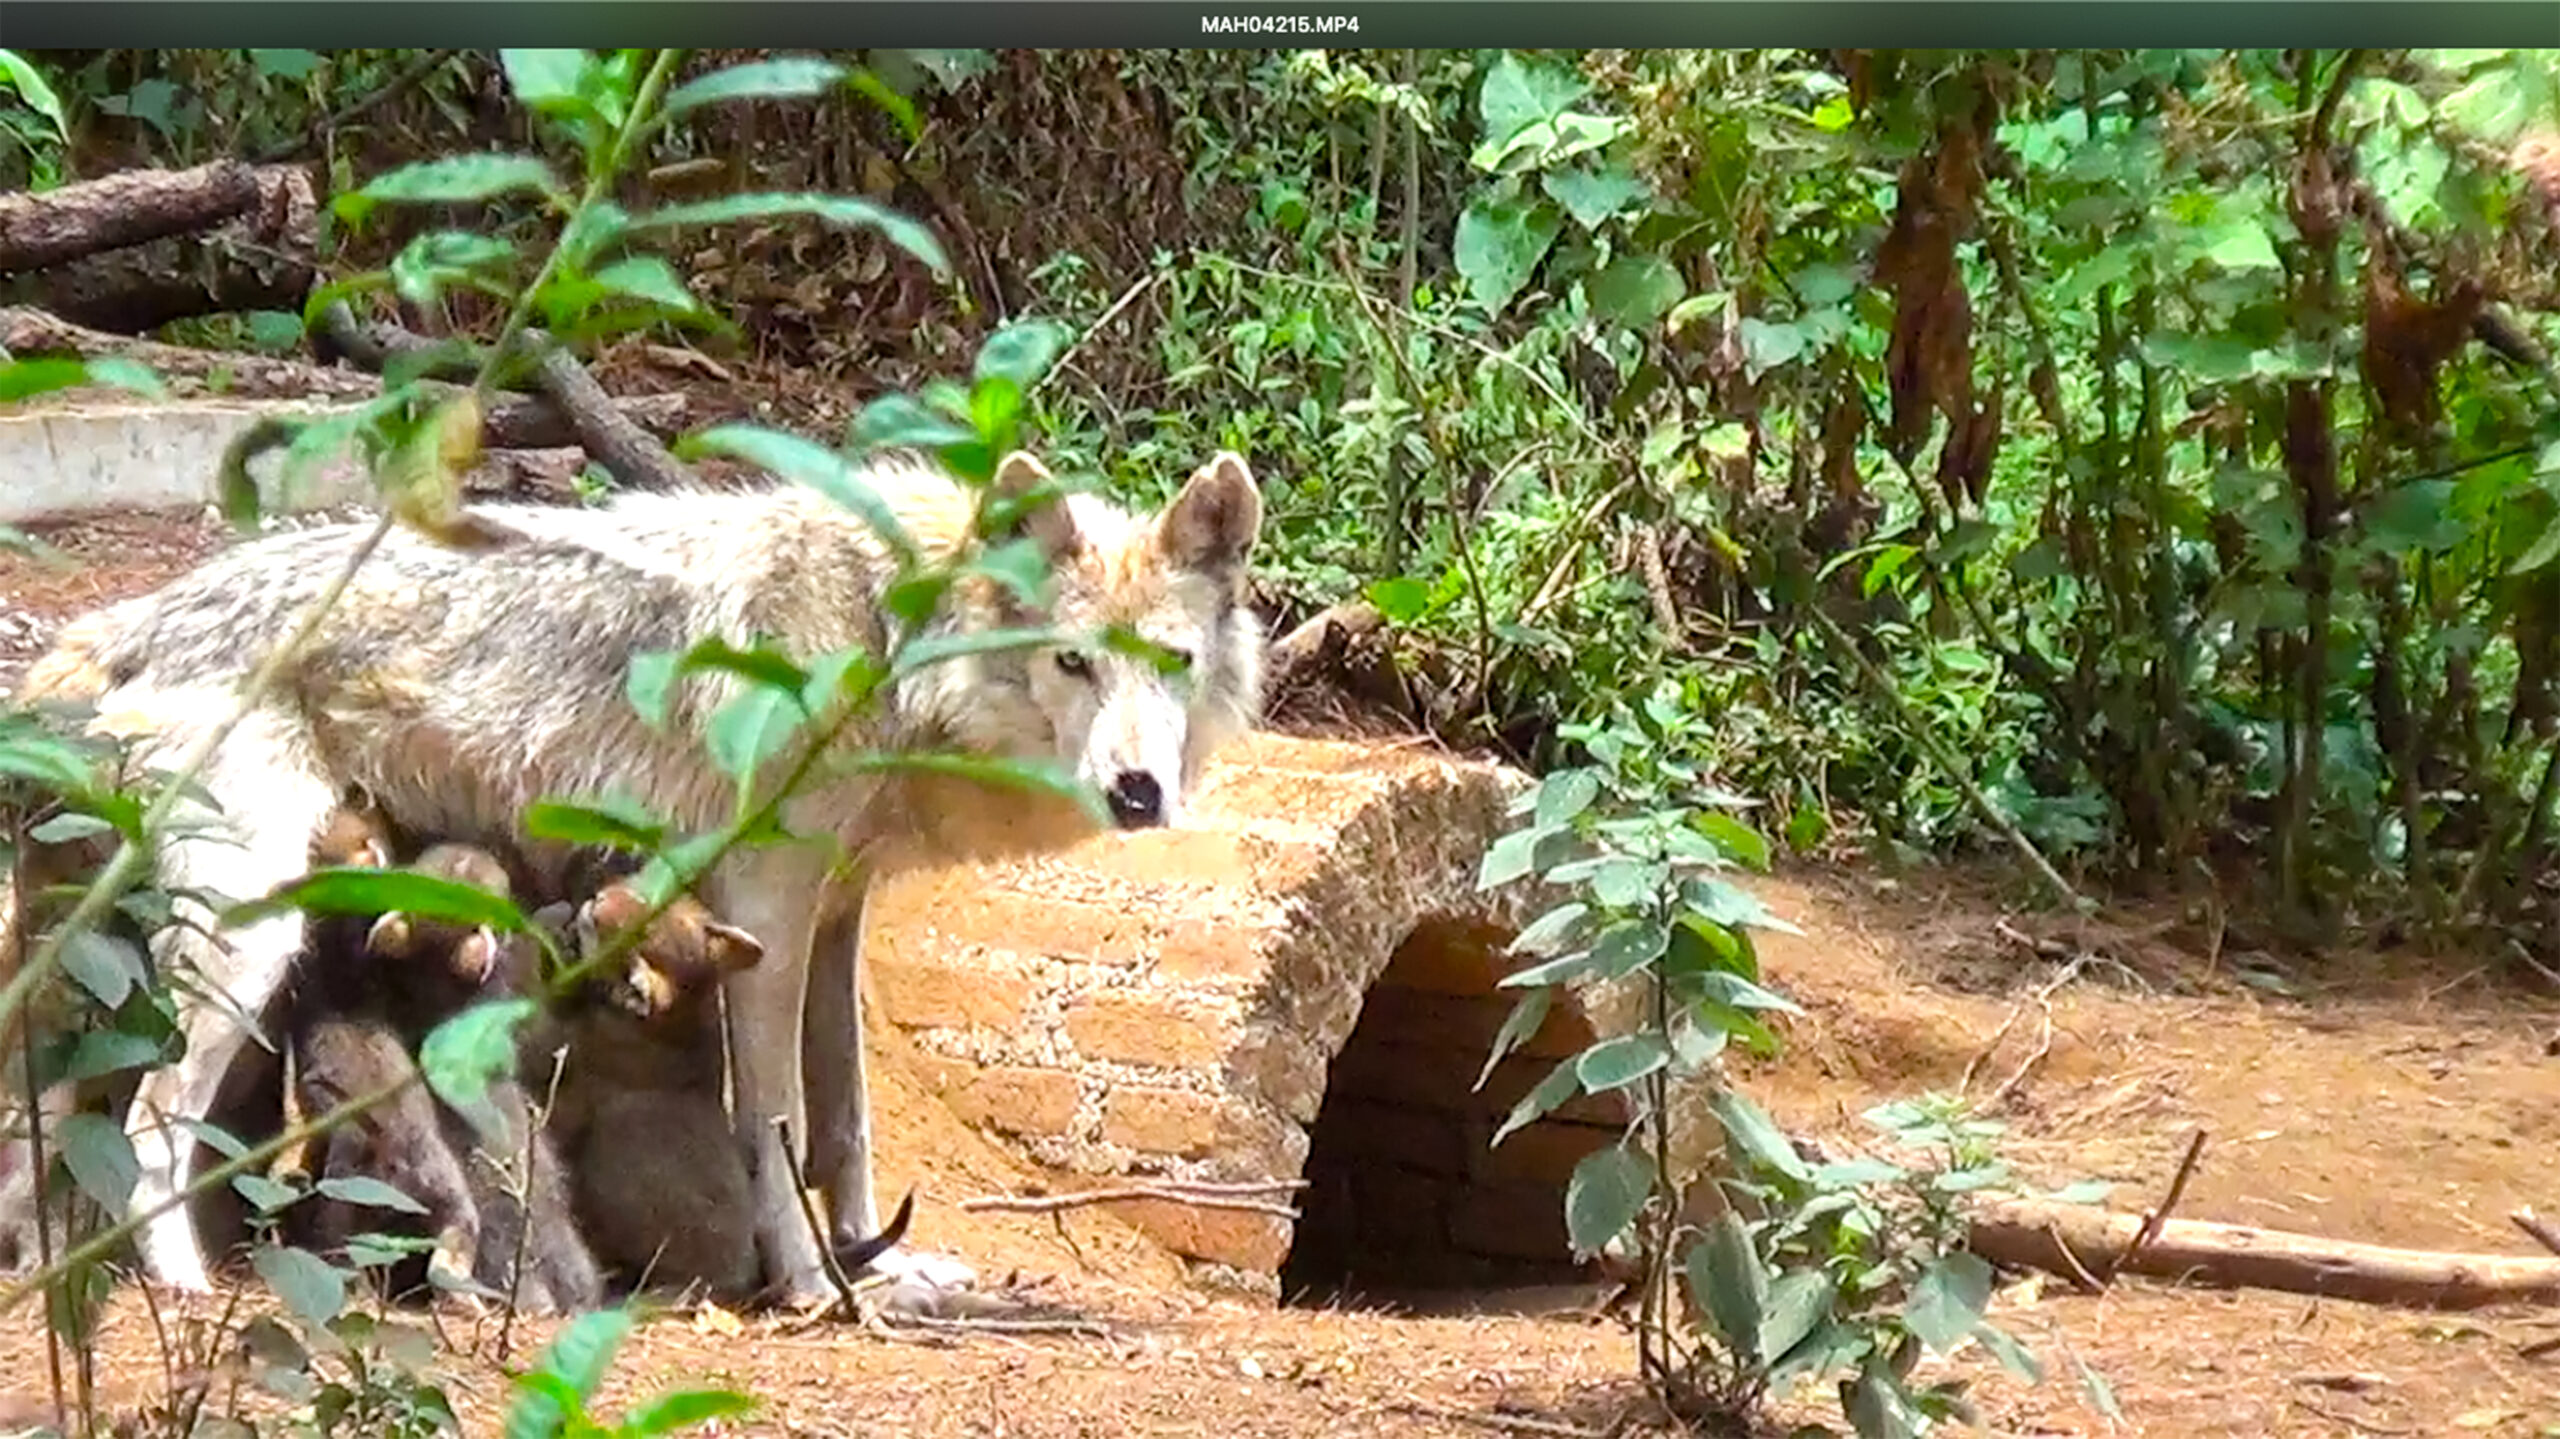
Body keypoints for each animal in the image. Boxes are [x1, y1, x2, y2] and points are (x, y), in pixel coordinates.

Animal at [19, 447, 1266, 1309]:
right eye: (1072, 662)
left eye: (1173, 663)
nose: (1138, 790)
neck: (886, 638)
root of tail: (131, 616)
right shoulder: (766, 910)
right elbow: (775, 1122)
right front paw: (810, 1286)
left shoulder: (839, 911)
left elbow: (849, 1122)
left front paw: (885, 1266)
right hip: (245, 942)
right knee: (151, 1114)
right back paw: (183, 1281)